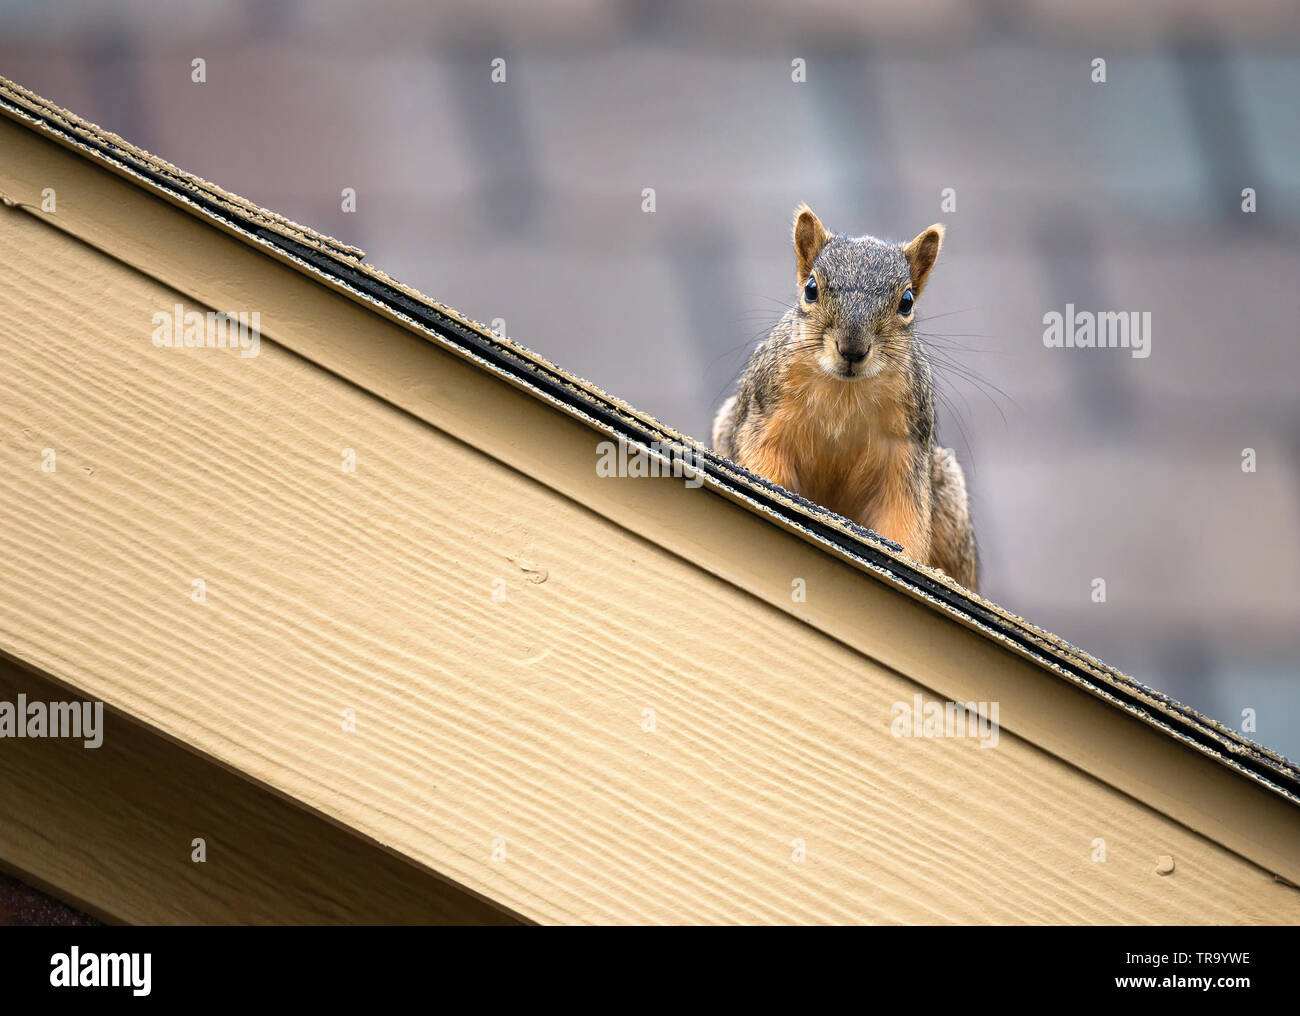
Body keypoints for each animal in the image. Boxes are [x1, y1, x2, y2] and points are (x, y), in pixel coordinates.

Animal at [712, 204, 978, 591]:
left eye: (907, 302)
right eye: (811, 289)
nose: (852, 349)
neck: (845, 392)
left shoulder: (905, 452)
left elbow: (903, 515)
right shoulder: (764, 418)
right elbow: (765, 466)